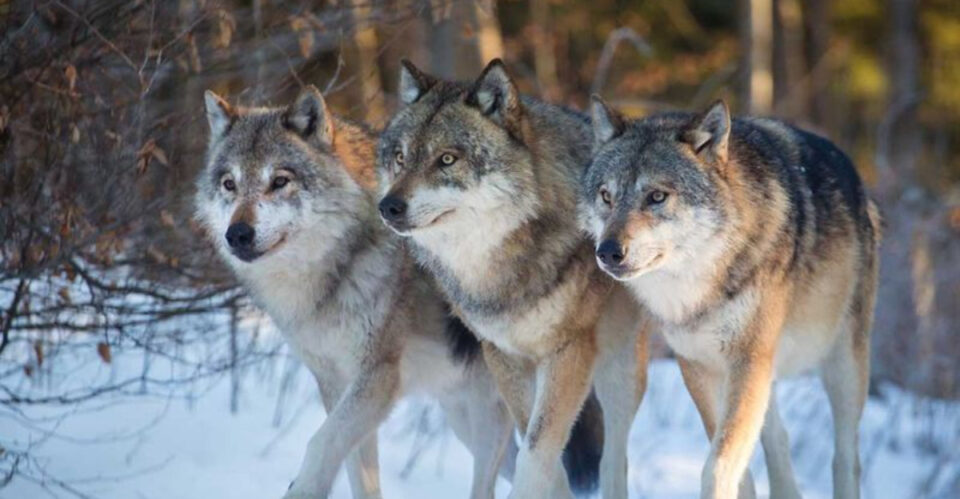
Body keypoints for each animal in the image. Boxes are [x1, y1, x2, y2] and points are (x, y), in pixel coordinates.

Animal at [195, 86, 519, 499]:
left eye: (279, 181)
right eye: (229, 184)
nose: (237, 234)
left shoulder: (378, 376)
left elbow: (320, 443)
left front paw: (301, 488)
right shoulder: (336, 384)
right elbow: (355, 470)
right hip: (467, 415)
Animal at [376, 59, 650, 499]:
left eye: (447, 159)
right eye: (400, 157)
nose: (388, 207)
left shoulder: (569, 352)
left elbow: (537, 451)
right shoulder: (503, 355)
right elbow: (540, 448)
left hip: (618, 369)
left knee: (615, 457)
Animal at [583, 96, 881, 499]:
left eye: (656, 196)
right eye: (606, 196)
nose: (607, 252)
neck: (700, 283)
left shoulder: (747, 359)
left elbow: (719, 462)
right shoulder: (698, 364)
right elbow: (735, 462)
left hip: (842, 366)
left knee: (847, 457)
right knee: (778, 439)